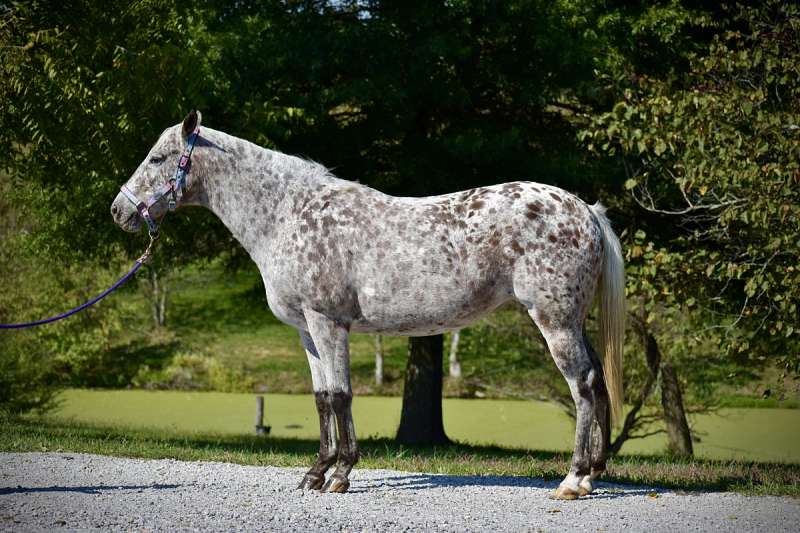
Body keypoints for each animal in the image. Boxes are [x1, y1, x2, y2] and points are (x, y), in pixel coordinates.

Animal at [111, 111, 625, 499]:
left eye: (158, 157)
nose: (119, 211)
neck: (288, 214)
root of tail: (586, 210)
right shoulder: (306, 331)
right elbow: (321, 398)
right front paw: (315, 473)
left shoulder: (328, 323)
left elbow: (341, 395)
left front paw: (340, 474)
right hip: (574, 321)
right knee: (598, 382)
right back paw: (594, 472)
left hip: (555, 321)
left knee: (582, 386)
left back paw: (573, 480)